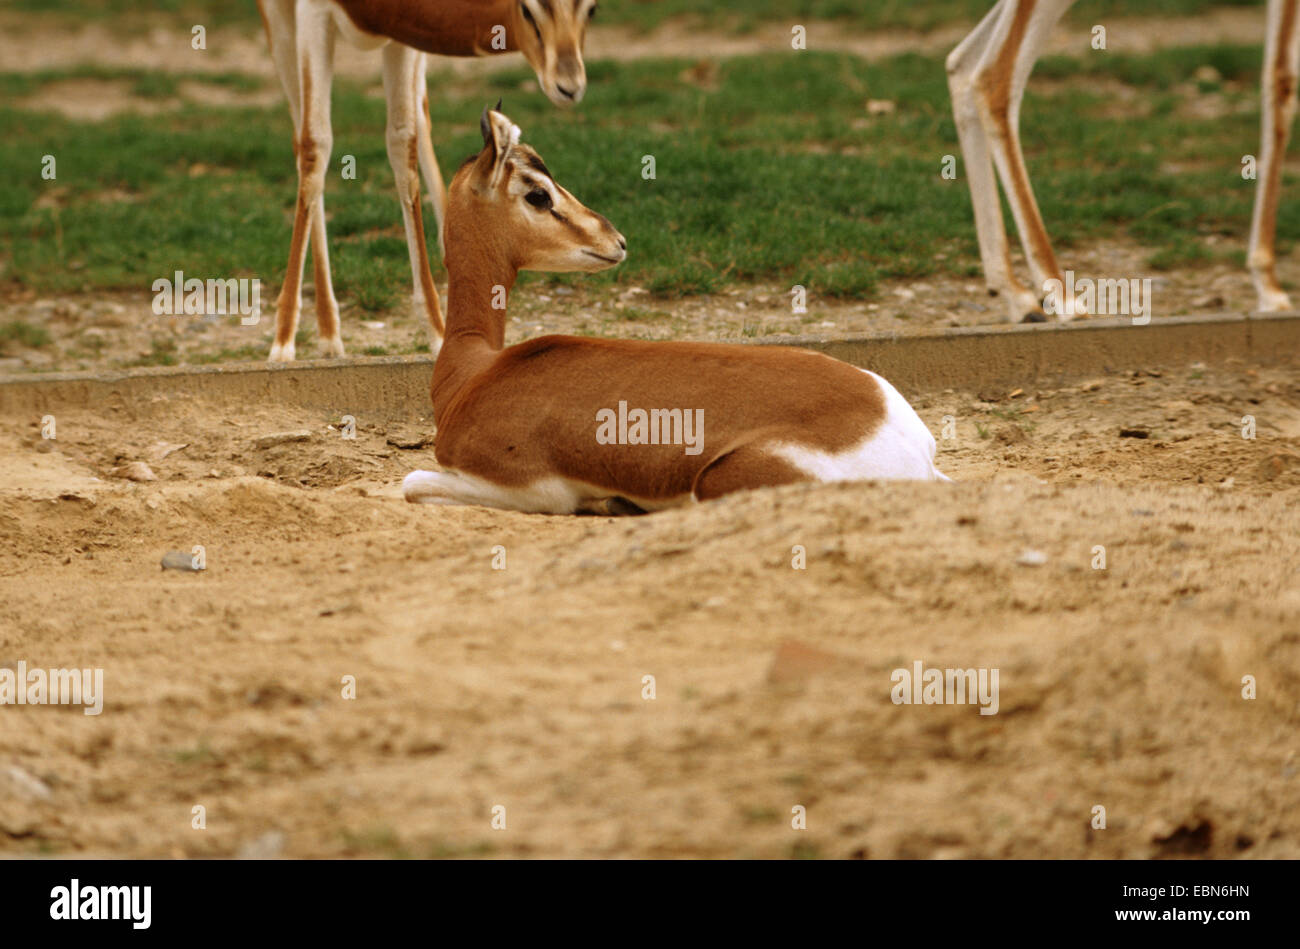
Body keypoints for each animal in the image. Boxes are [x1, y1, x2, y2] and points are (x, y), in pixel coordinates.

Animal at [256, 0, 597, 362]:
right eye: (528, 10)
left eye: (591, 9)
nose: (569, 86)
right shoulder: (313, 15)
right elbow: (315, 146)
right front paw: (282, 345)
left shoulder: (403, 41)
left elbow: (403, 143)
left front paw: (437, 334)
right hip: (282, 29)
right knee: (302, 138)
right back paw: (328, 334)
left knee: (422, 118)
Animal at [402, 108, 949, 514]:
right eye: (538, 193)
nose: (617, 241)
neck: (474, 373)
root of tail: (905, 439)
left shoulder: (531, 490)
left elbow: (408, 482)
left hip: (720, 480)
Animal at [948, 0, 1300, 321]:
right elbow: (1280, 79)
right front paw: (1269, 288)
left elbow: (1283, 82)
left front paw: (1269, 286)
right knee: (993, 77)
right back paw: (1063, 298)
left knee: (961, 65)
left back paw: (1014, 294)